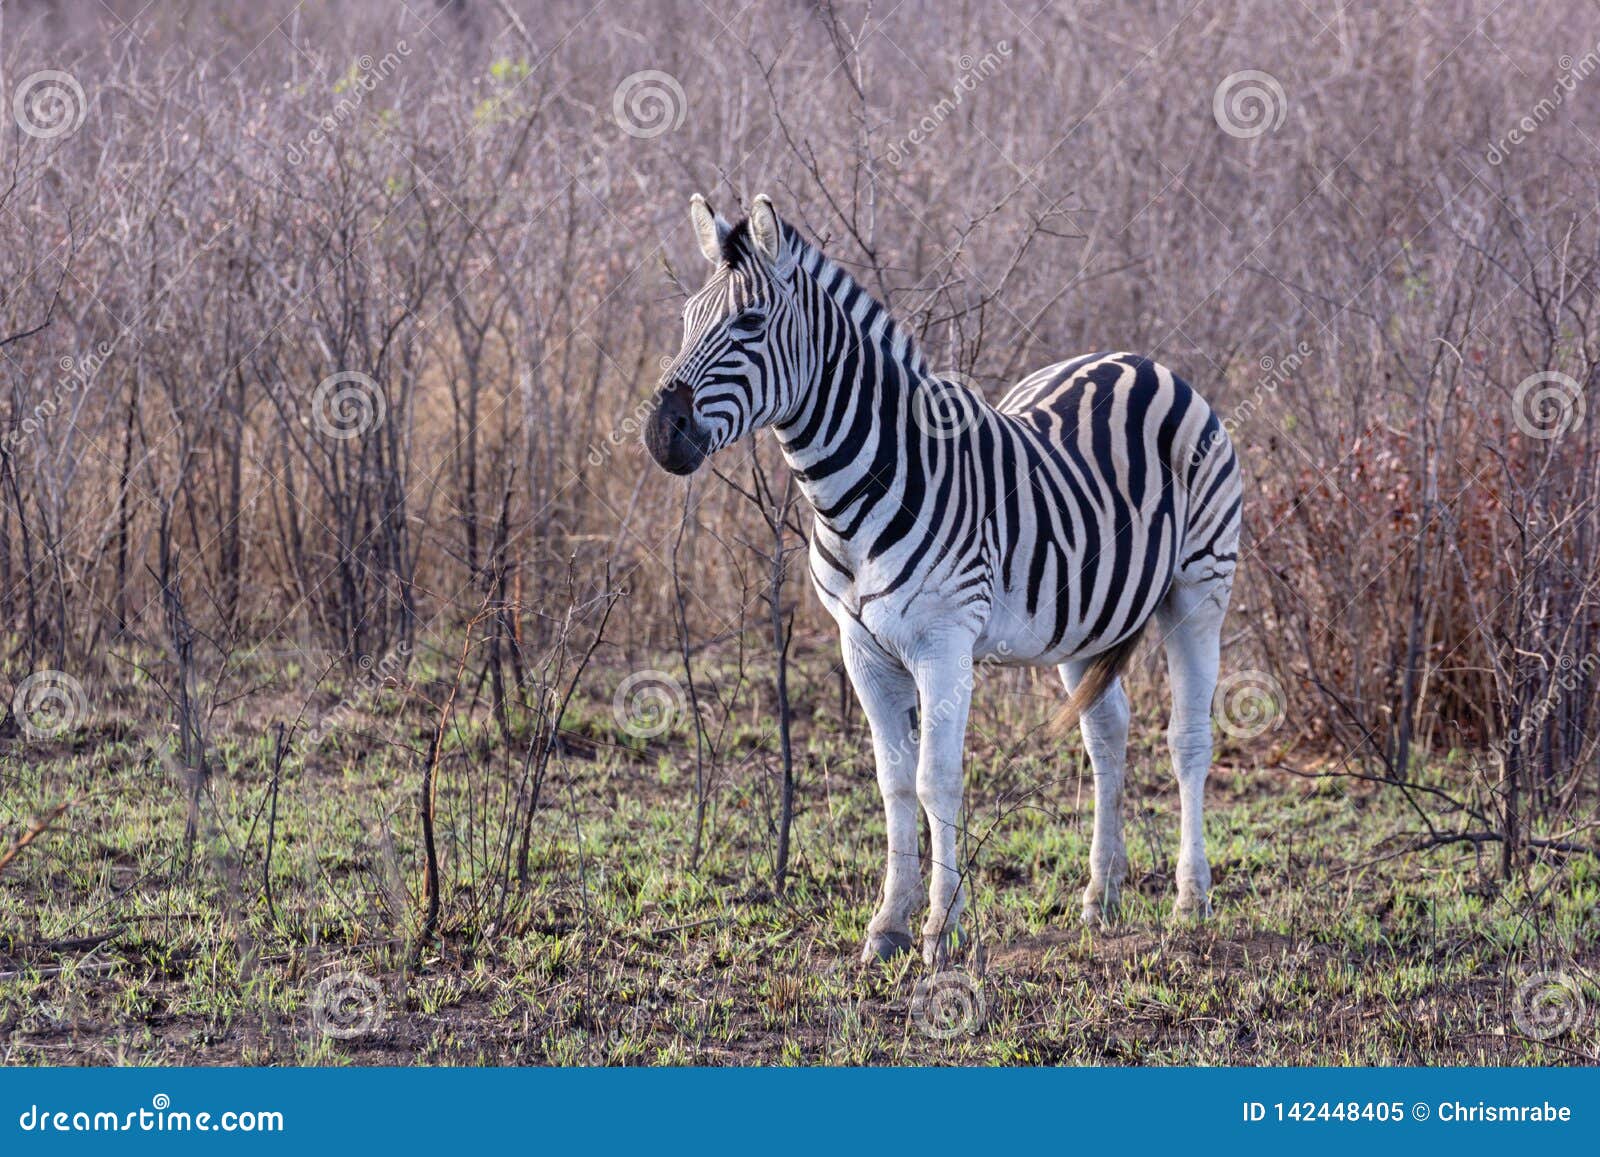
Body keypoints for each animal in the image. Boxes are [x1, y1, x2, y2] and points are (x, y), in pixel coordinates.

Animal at [644, 194, 1242, 965]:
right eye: (689, 318)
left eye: (749, 322)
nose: (660, 433)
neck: (856, 492)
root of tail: (1138, 360)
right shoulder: (861, 649)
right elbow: (894, 785)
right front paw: (887, 925)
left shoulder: (944, 643)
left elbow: (937, 781)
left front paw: (940, 928)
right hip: (1085, 616)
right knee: (1106, 732)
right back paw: (1100, 895)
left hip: (1199, 591)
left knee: (1188, 739)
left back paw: (1191, 899)